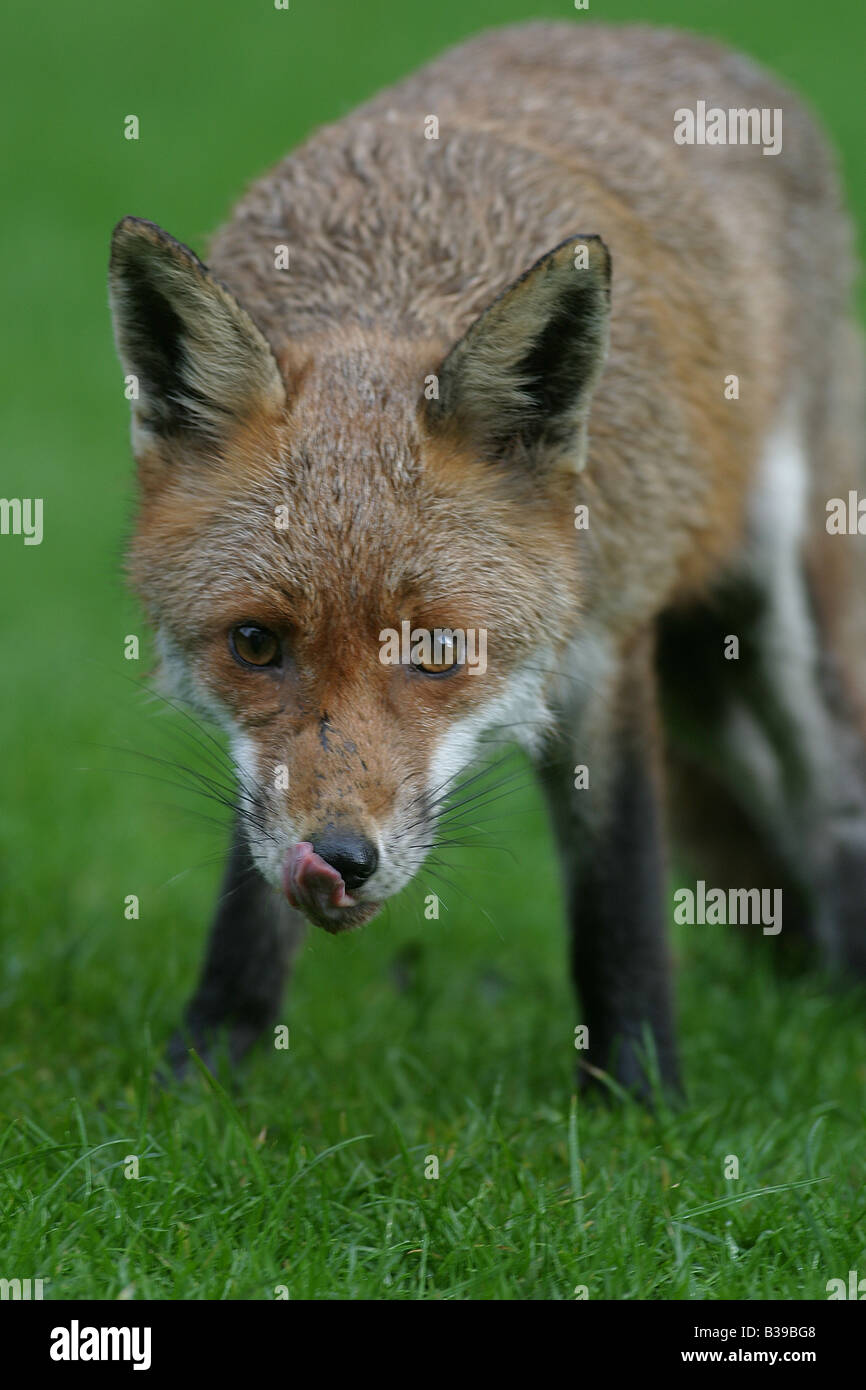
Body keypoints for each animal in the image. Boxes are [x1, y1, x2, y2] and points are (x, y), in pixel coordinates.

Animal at [109, 21, 866, 1096]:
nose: (342, 858)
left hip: (770, 617)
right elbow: (250, 897)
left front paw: (640, 1098)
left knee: (837, 793)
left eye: (435, 652)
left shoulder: (605, 641)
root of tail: (641, 32)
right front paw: (204, 1078)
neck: (390, 287)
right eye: (254, 644)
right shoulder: (273, 780)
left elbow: (620, 891)